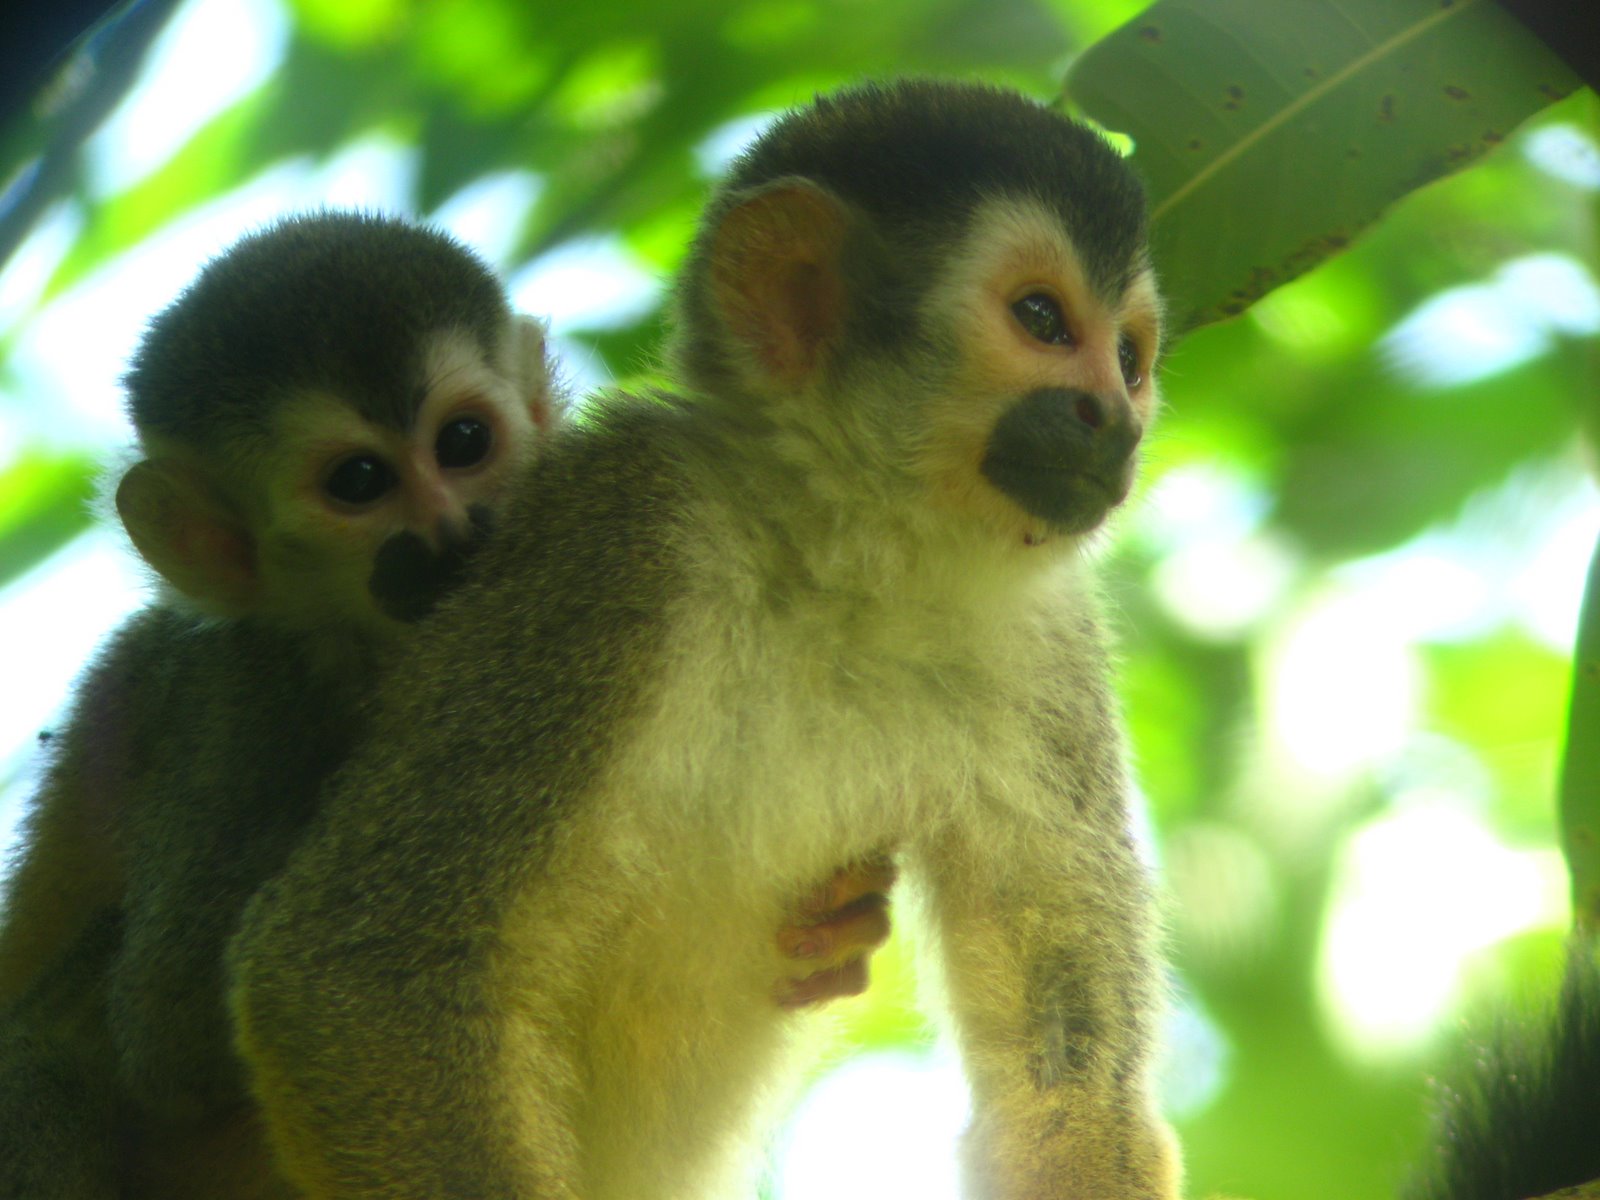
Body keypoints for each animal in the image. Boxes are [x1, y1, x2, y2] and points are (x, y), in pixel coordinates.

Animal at [0, 211, 893, 1199]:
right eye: (358, 482)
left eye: (464, 441)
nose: (453, 532)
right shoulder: (248, 706)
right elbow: (162, 1025)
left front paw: (845, 922)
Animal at [229, 80, 1179, 1200]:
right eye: (1041, 318)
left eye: (1129, 356)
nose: (1114, 419)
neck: (842, 567)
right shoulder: (620, 539)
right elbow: (358, 978)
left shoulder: (1047, 645)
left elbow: (1065, 1076)